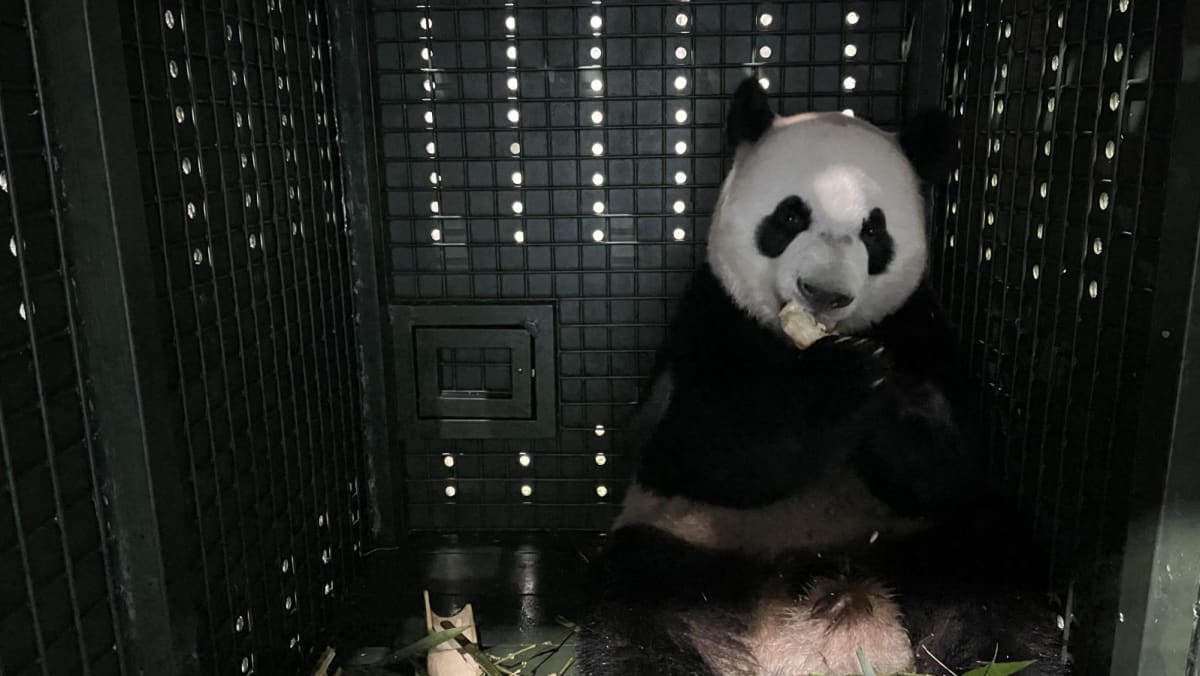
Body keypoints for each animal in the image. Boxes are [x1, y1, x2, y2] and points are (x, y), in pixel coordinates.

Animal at [577, 78, 1068, 676]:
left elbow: (954, 462)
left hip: (926, 544)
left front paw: (885, 394)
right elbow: (682, 448)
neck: (796, 339)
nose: (824, 293)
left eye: (874, 229)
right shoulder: (709, 319)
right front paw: (836, 382)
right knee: (638, 611)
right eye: (790, 217)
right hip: (687, 544)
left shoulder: (920, 324)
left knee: (994, 580)